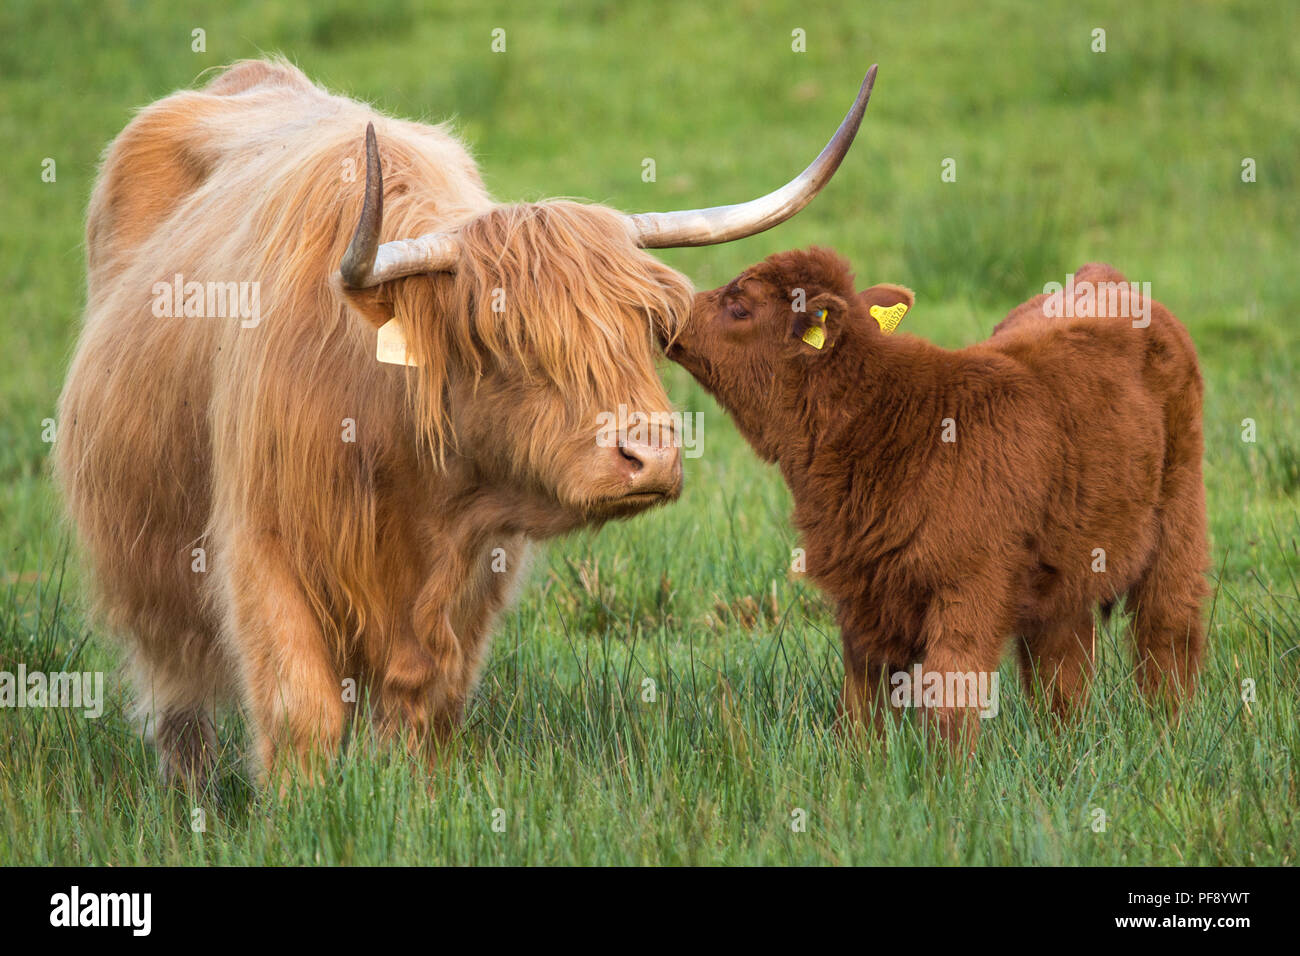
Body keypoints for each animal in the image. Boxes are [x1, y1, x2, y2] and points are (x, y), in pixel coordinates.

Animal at [56, 59, 878, 787]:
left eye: (647, 329)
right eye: (507, 341)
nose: (648, 457)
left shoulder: (476, 568)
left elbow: (420, 712)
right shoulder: (261, 543)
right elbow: (300, 710)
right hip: (150, 562)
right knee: (176, 697)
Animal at [666, 248, 1208, 751]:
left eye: (740, 306)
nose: (673, 312)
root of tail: (1106, 277)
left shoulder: (968, 591)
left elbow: (949, 700)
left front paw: (945, 782)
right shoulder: (862, 594)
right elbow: (862, 702)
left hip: (1180, 518)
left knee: (1168, 632)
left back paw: (1170, 734)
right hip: (1068, 564)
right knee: (1062, 669)